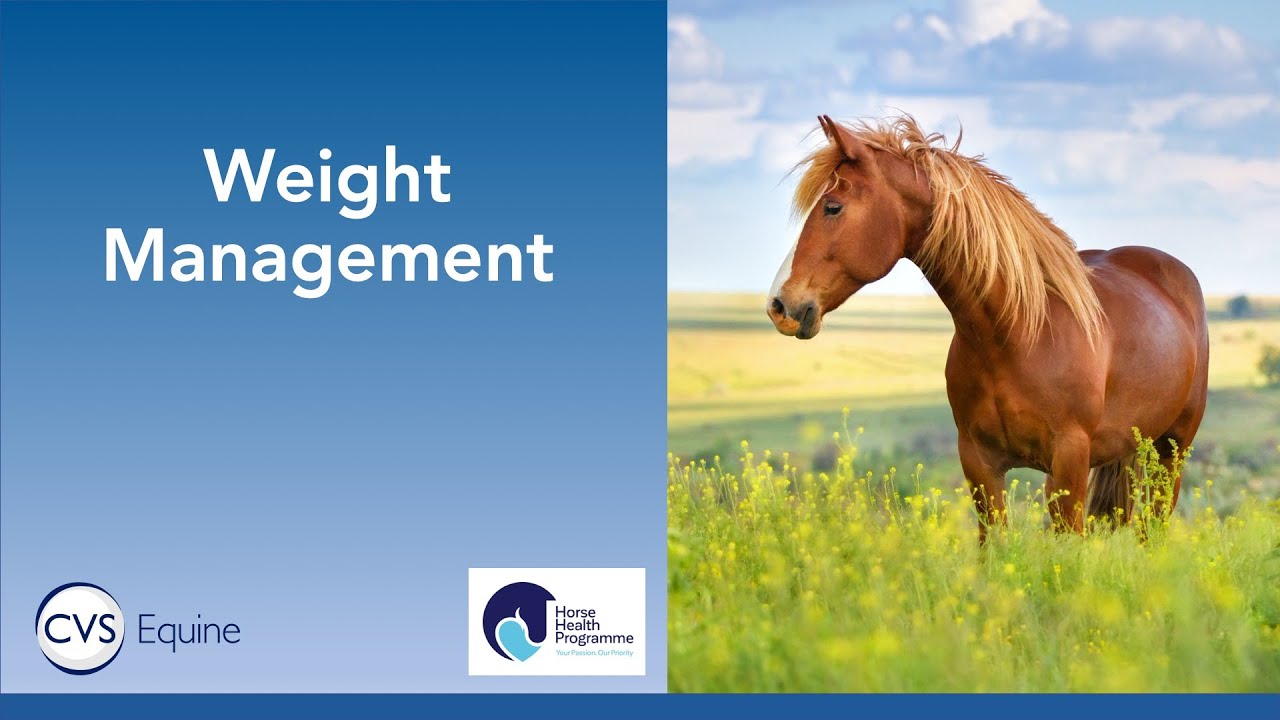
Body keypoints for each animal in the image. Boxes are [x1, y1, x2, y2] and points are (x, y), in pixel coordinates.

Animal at [766, 115, 1209, 539]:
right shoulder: (979, 463)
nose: (779, 305)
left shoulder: (1069, 461)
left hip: (1172, 451)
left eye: (832, 207)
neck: (1016, 336)